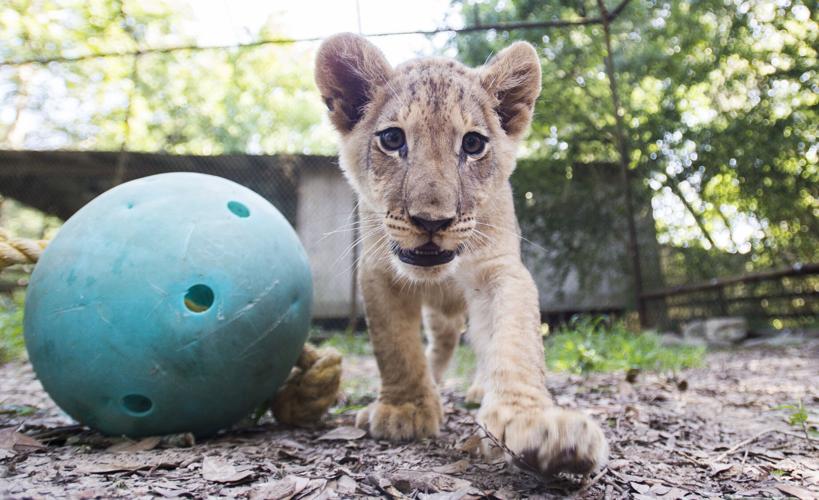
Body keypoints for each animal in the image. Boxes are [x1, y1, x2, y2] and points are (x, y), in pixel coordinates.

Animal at [314, 33, 609, 475]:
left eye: (472, 144)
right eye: (392, 139)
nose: (431, 221)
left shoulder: (499, 269)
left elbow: (516, 343)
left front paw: (534, 424)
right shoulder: (378, 272)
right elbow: (395, 346)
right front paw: (405, 409)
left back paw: (479, 389)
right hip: (440, 317)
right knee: (442, 342)